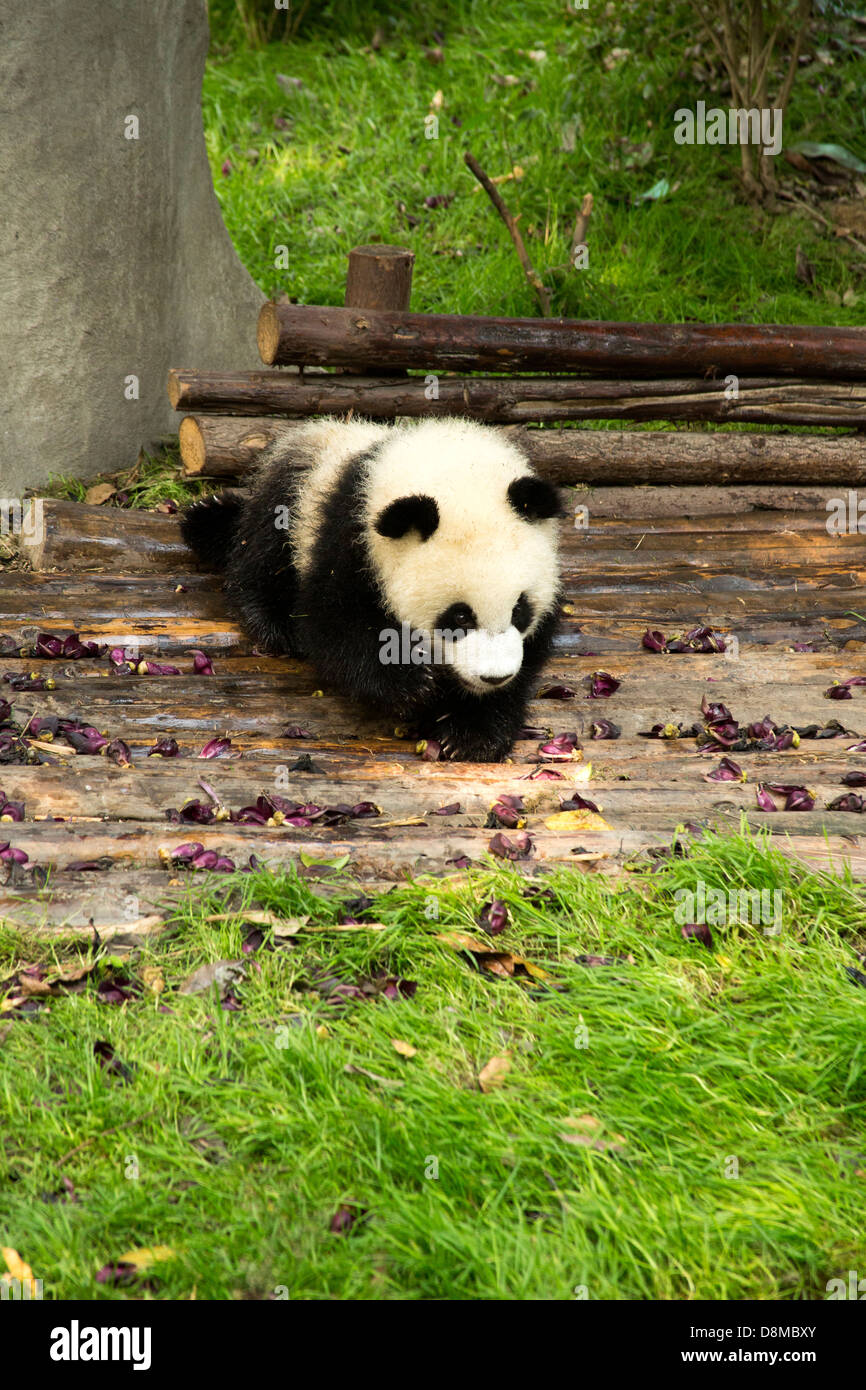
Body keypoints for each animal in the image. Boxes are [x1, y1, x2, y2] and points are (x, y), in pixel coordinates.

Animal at [181, 416, 562, 762]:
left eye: (520, 610)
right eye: (459, 617)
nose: (494, 676)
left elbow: (530, 656)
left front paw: (473, 732)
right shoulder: (349, 536)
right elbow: (335, 625)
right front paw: (413, 683)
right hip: (293, 491)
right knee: (260, 553)